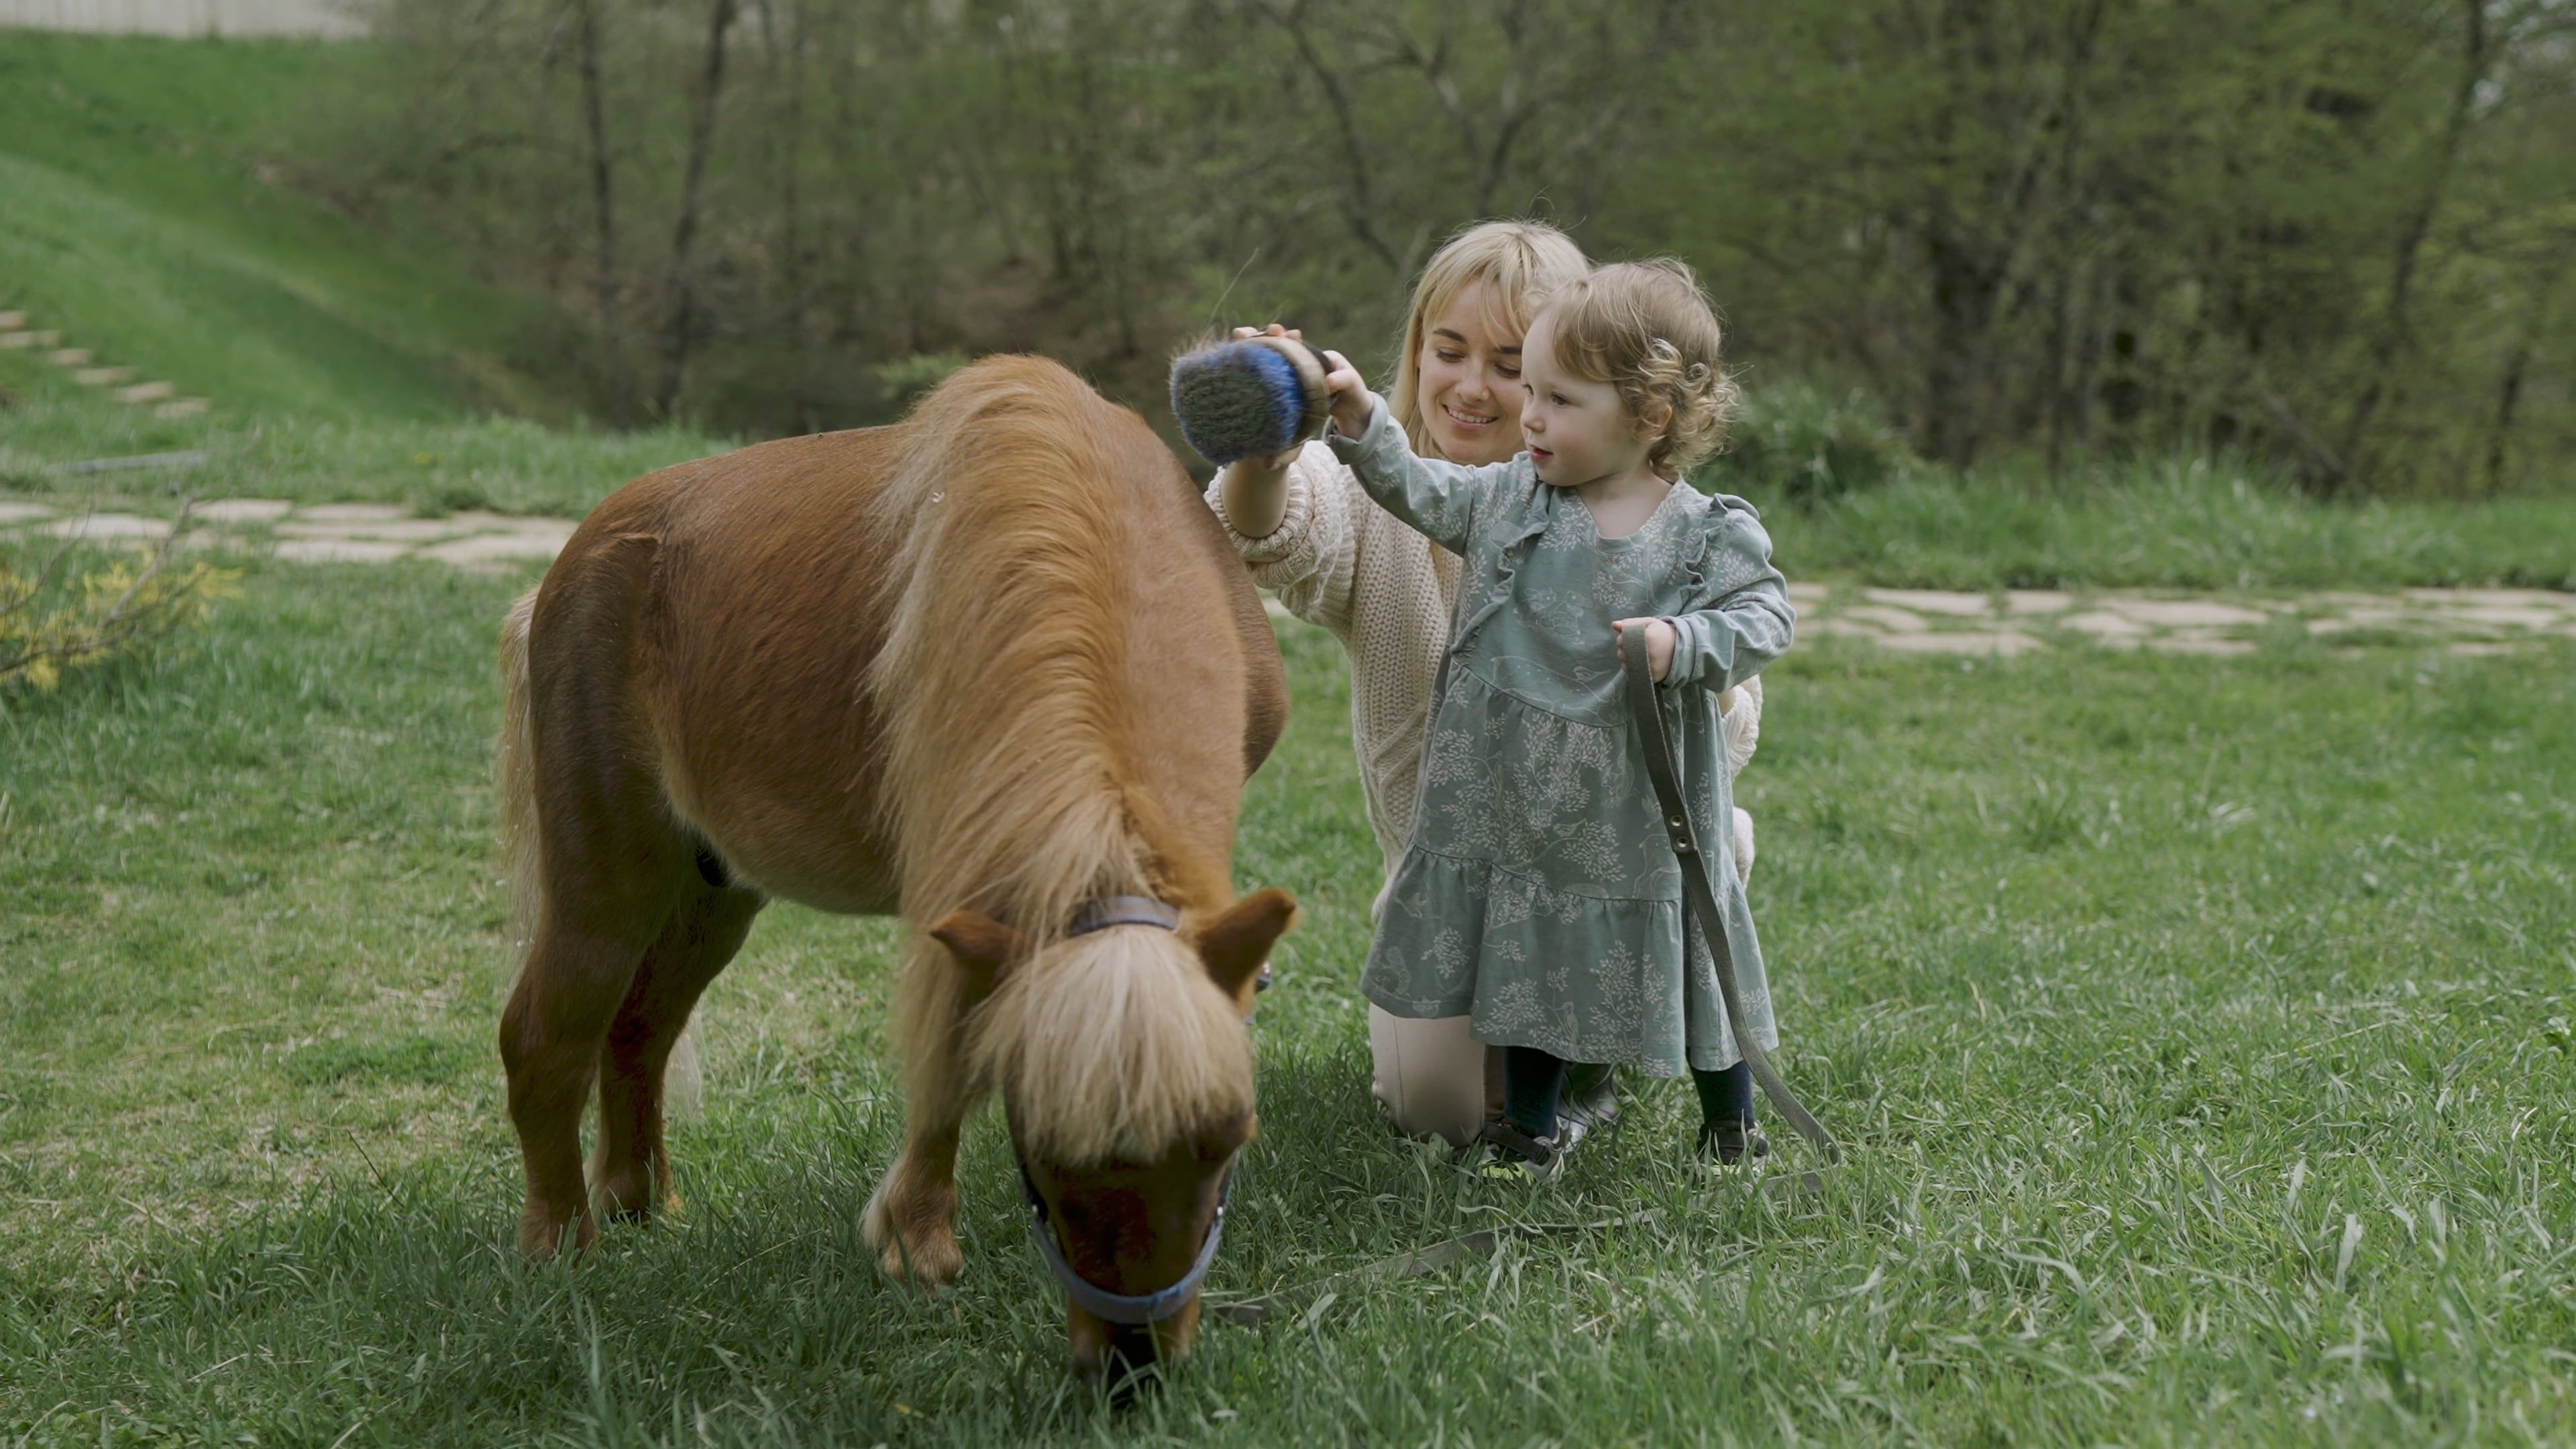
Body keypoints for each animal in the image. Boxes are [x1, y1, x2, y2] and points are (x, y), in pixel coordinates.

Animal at [493, 354, 1294, 1376]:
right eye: (1040, 1155)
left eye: (1228, 1142)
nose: (1133, 1365)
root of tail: (577, 560)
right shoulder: (966, 885)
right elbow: (947, 1047)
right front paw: (919, 1241)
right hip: (608, 880)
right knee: (545, 1036)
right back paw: (561, 1247)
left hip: (714, 892)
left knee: (639, 1031)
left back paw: (641, 1208)